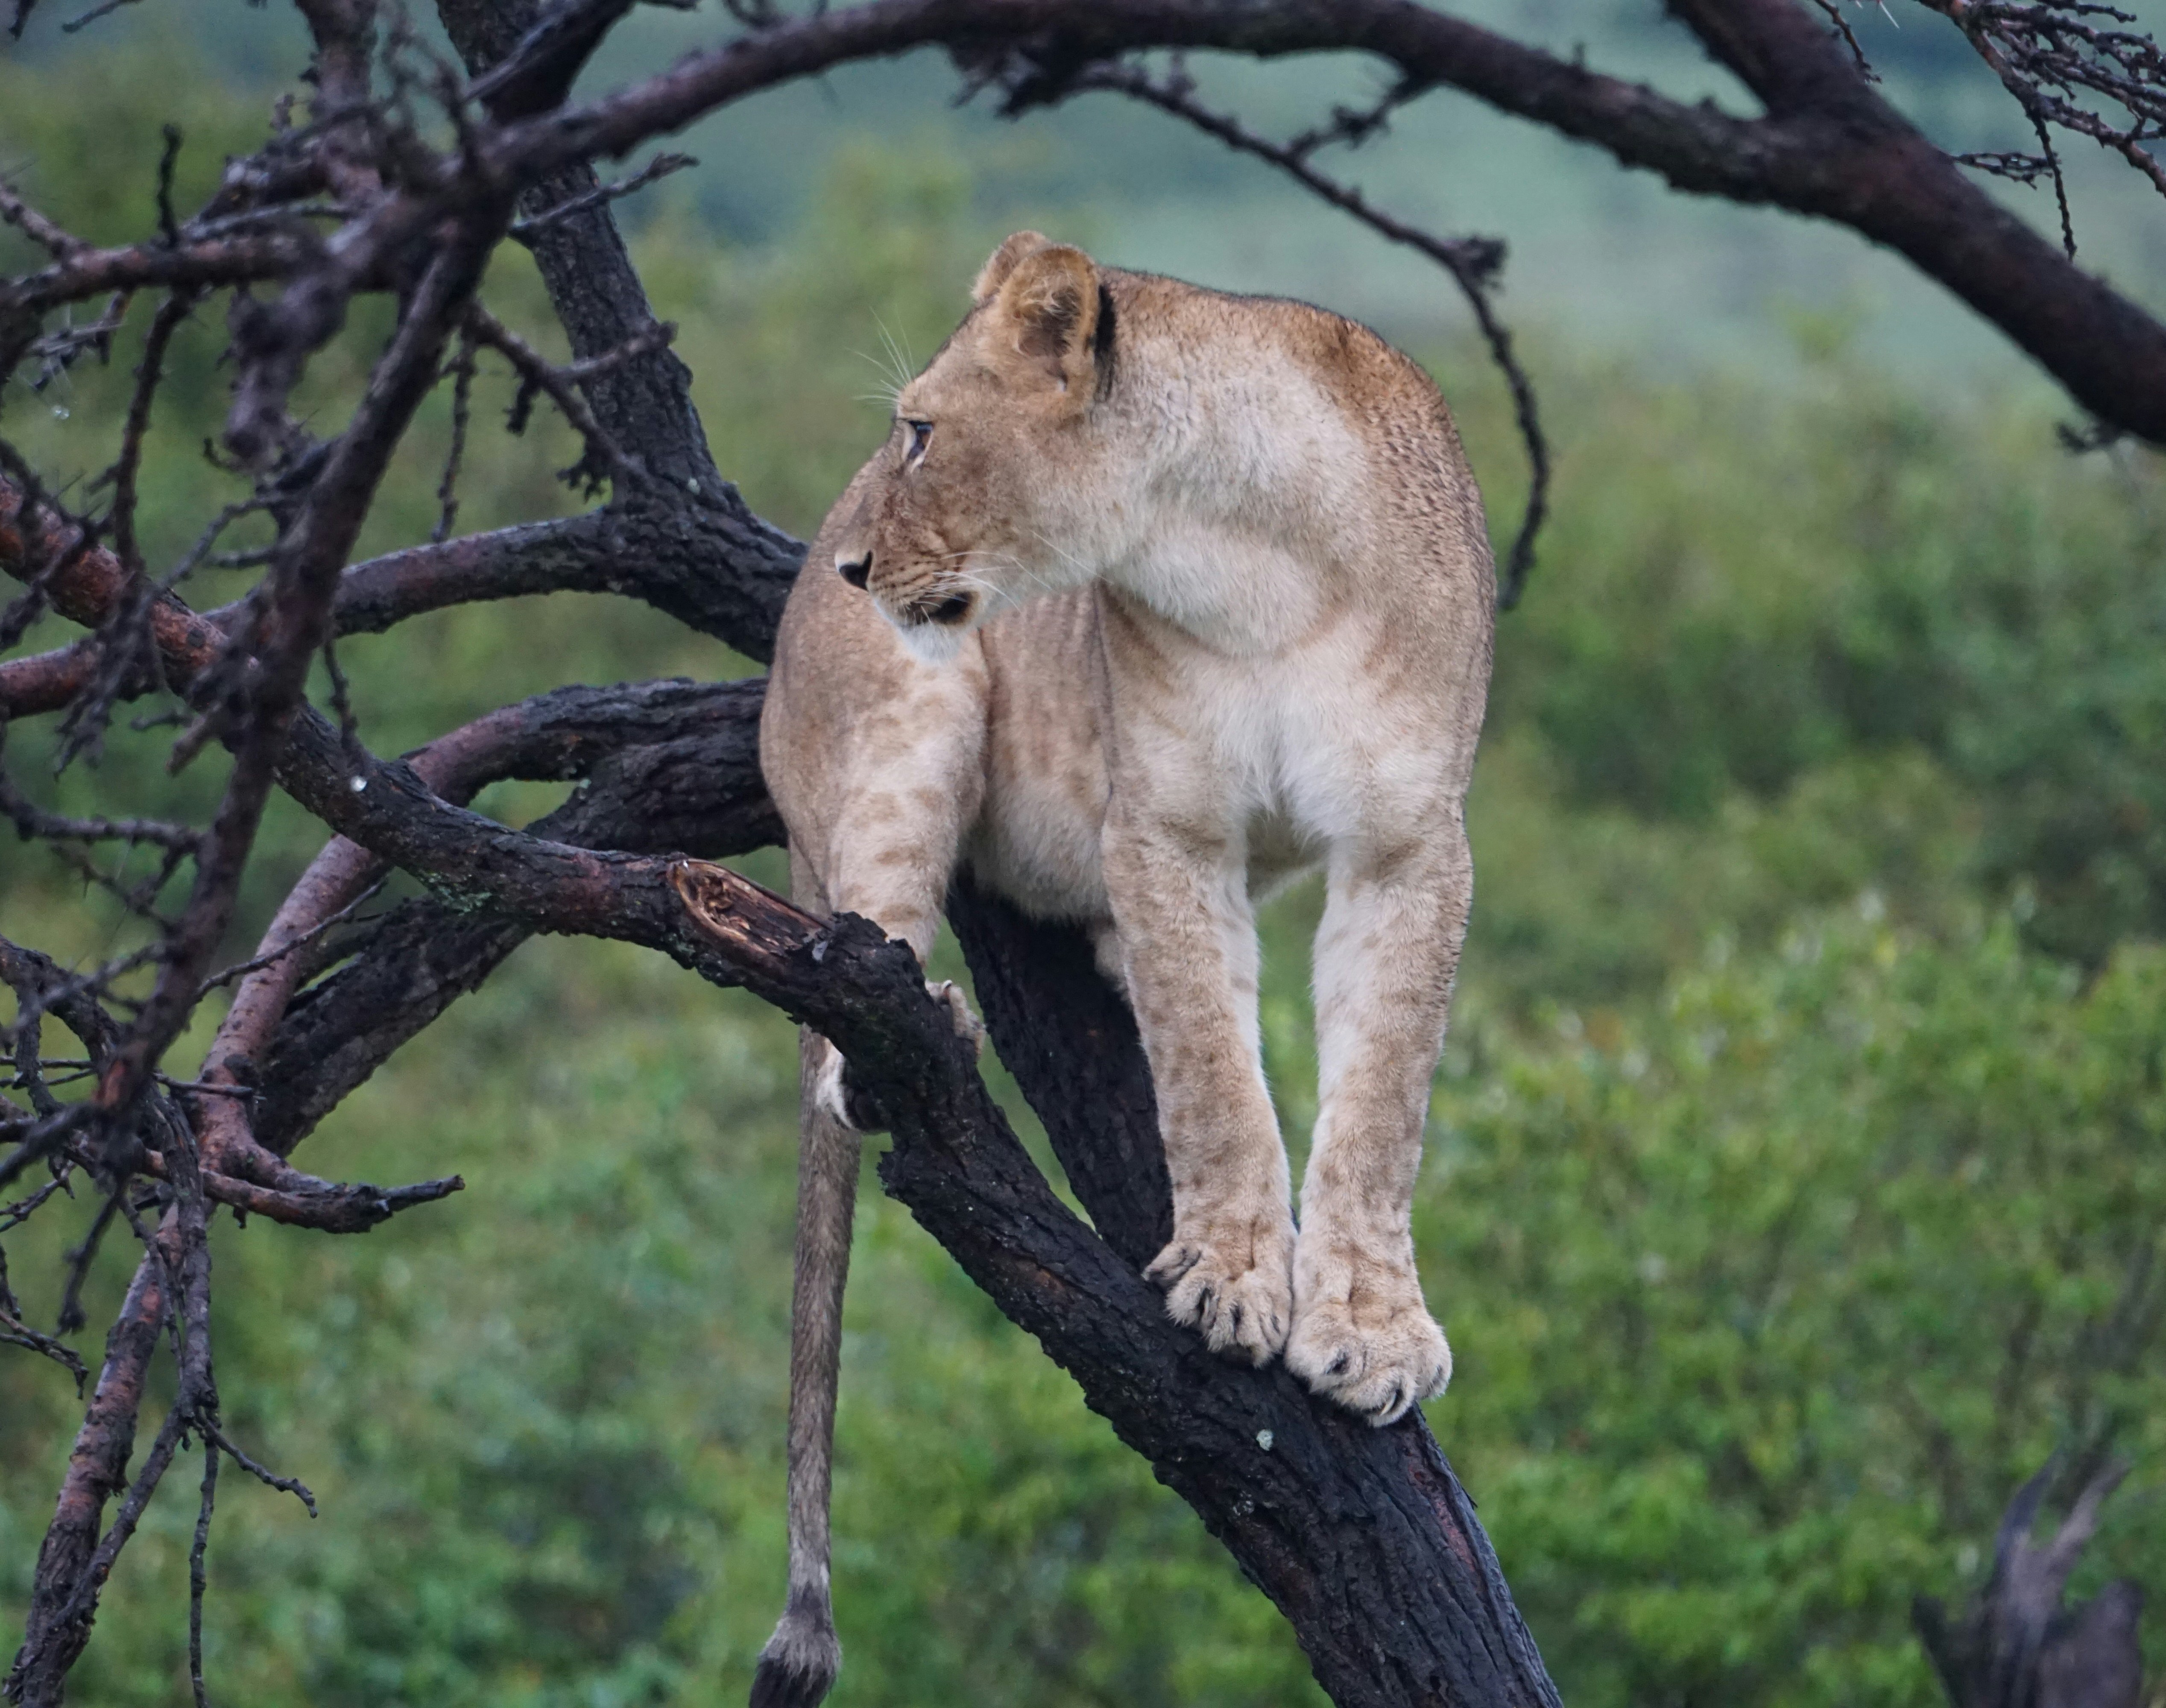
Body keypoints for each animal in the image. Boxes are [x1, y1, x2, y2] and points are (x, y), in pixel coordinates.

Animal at [751, 232, 1494, 1707]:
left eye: (924, 430)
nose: (858, 564)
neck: (1255, 565)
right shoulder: (1166, 824)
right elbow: (1213, 1073)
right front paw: (1229, 1284)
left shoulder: (1408, 846)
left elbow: (1380, 1104)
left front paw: (1369, 1329)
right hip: (911, 723)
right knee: (849, 1005)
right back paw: (915, 1015)